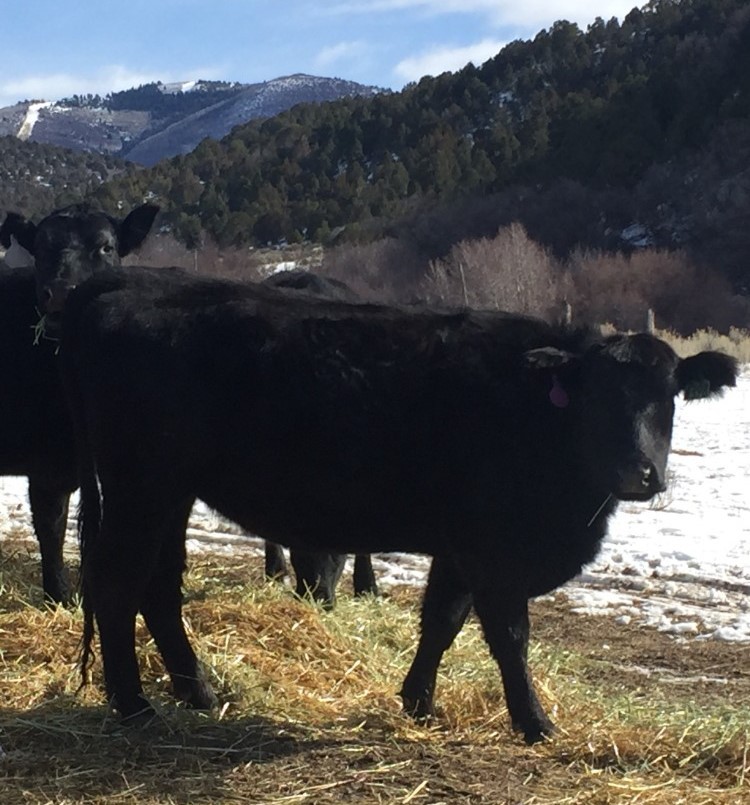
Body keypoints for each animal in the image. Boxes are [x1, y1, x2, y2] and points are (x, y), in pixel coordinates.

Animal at [29, 210, 737, 743]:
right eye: (596, 396)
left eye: (669, 396)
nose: (640, 473)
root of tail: (119, 285)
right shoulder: (494, 549)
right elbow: (509, 636)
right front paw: (535, 723)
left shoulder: (459, 547)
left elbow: (441, 622)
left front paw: (418, 702)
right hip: (138, 487)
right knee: (117, 585)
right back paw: (135, 708)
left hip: (166, 492)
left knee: (158, 585)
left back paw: (196, 691)